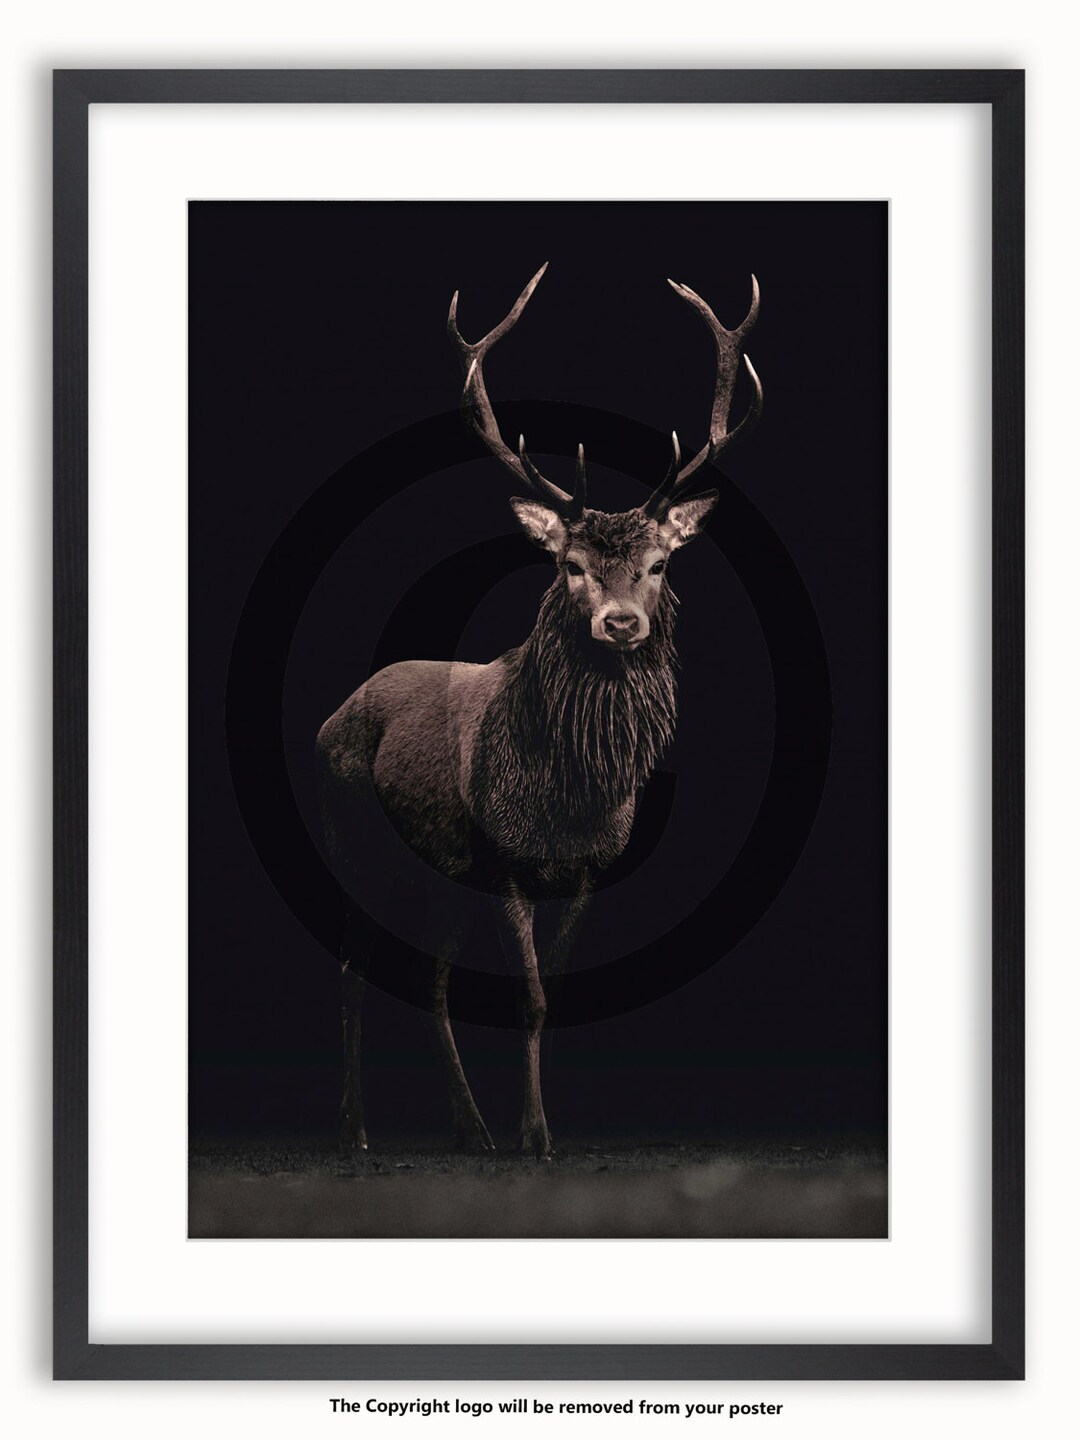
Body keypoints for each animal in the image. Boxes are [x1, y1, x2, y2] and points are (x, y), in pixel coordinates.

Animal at [316, 263, 762, 1158]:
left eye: (658, 563)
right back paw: (357, 1130)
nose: (620, 623)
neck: (571, 797)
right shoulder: (508, 864)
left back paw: (470, 1127)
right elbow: (527, 997)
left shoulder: (585, 872)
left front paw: (533, 1124)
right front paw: (537, 1133)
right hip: (356, 839)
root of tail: (329, 718)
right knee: (353, 969)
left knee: (431, 976)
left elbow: (551, 997)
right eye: (572, 564)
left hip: (442, 872)